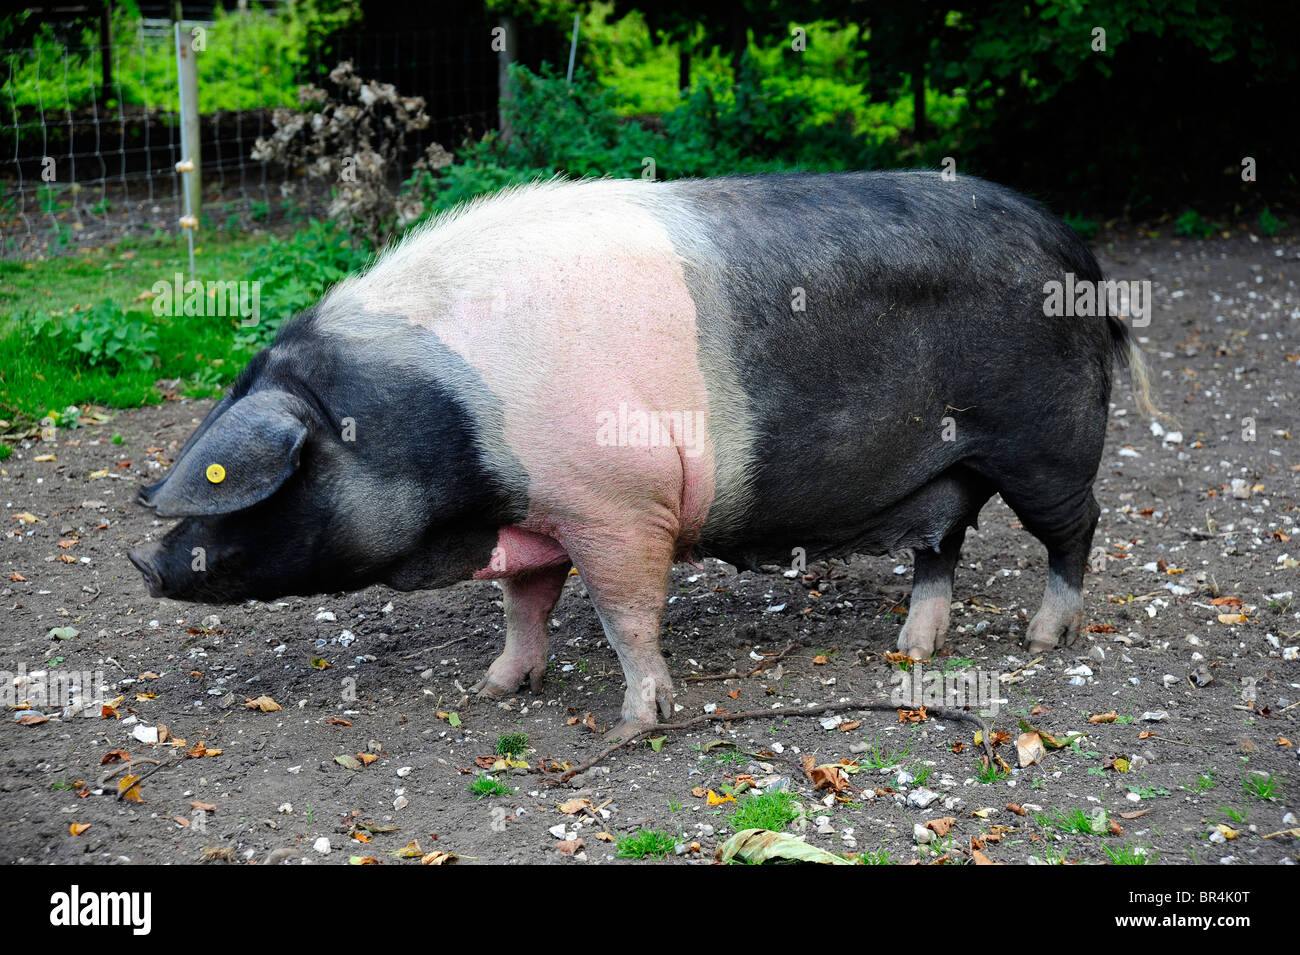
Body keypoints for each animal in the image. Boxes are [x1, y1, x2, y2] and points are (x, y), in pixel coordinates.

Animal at [129, 171, 1154, 740]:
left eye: (255, 484)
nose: (144, 558)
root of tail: (1077, 252)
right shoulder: (536, 514)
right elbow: (525, 606)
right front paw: (494, 686)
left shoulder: (618, 502)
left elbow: (626, 615)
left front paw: (637, 718)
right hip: (949, 464)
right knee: (942, 541)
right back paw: (910, 649)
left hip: (1044, 442)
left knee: (1077, 527)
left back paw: (1042, 637)